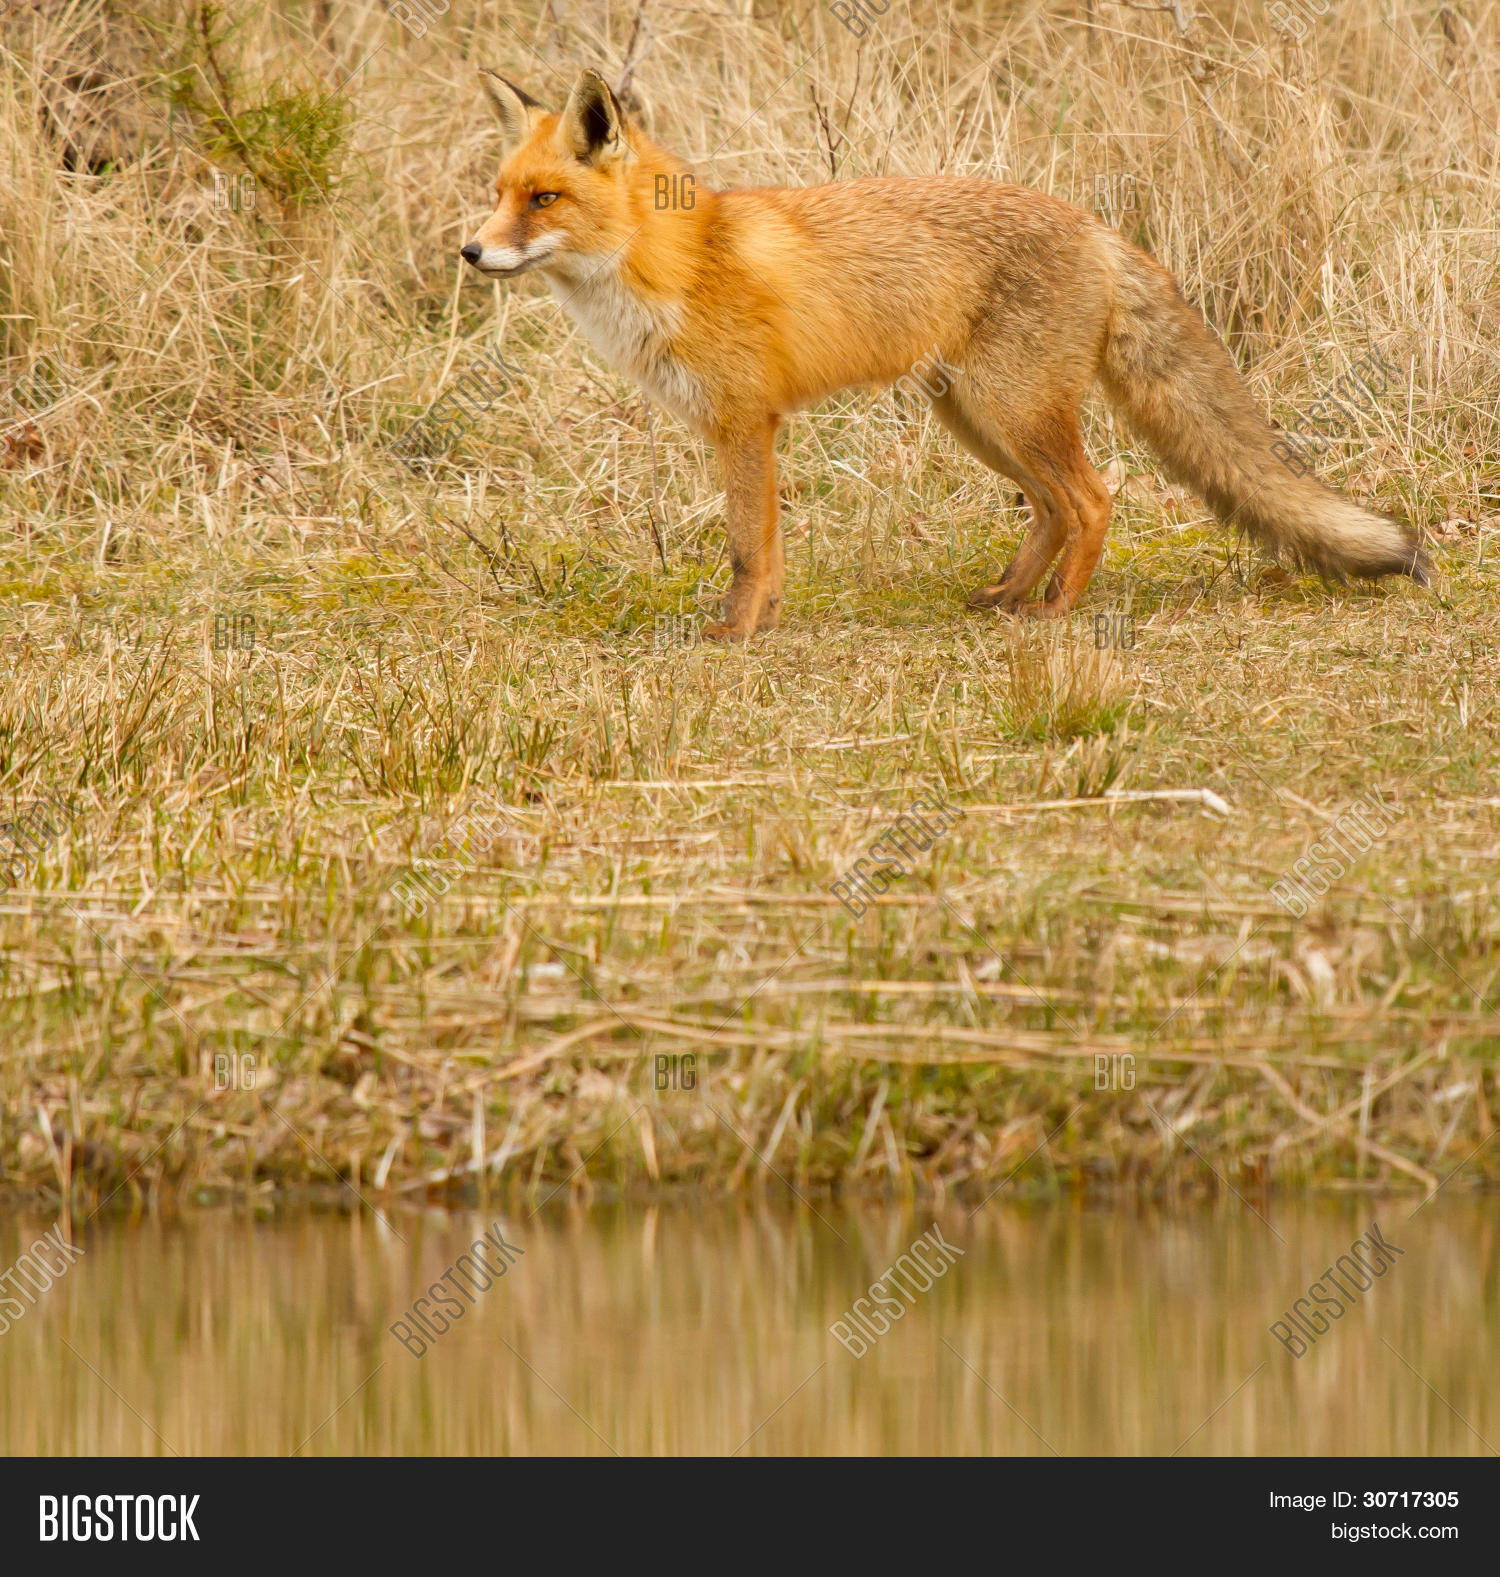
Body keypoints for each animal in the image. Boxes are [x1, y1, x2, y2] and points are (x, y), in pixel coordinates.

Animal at [460, 67, 1427, 641]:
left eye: (544, 199)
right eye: (500, 194)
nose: (470, 253)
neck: (681, 262)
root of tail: (1096, 227)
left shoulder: (746, 424)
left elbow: (747, 548)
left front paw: (734, 633)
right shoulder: (751, 429)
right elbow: (767, 547)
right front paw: (762, 624)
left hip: (1010, 411)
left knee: (1094, 499)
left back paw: (1056, 611)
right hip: (973, 416)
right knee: (1053, 509)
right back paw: (1006, 597)